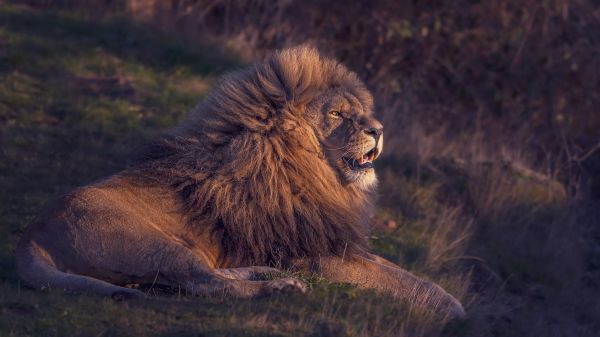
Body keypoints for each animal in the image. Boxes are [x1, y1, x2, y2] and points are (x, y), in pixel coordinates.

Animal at [14, 46, 464, 316]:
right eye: (337, 114)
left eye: (361, 112)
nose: (379, 129)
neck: (314, 173)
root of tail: (30, 234)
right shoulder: (315, 256)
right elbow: (406, 283)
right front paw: (457, 313)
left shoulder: (336, 243)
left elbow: (406, 275)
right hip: (151, 244)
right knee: (204, 285)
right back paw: (280, 289)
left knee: (208, 276)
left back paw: (265, 274)